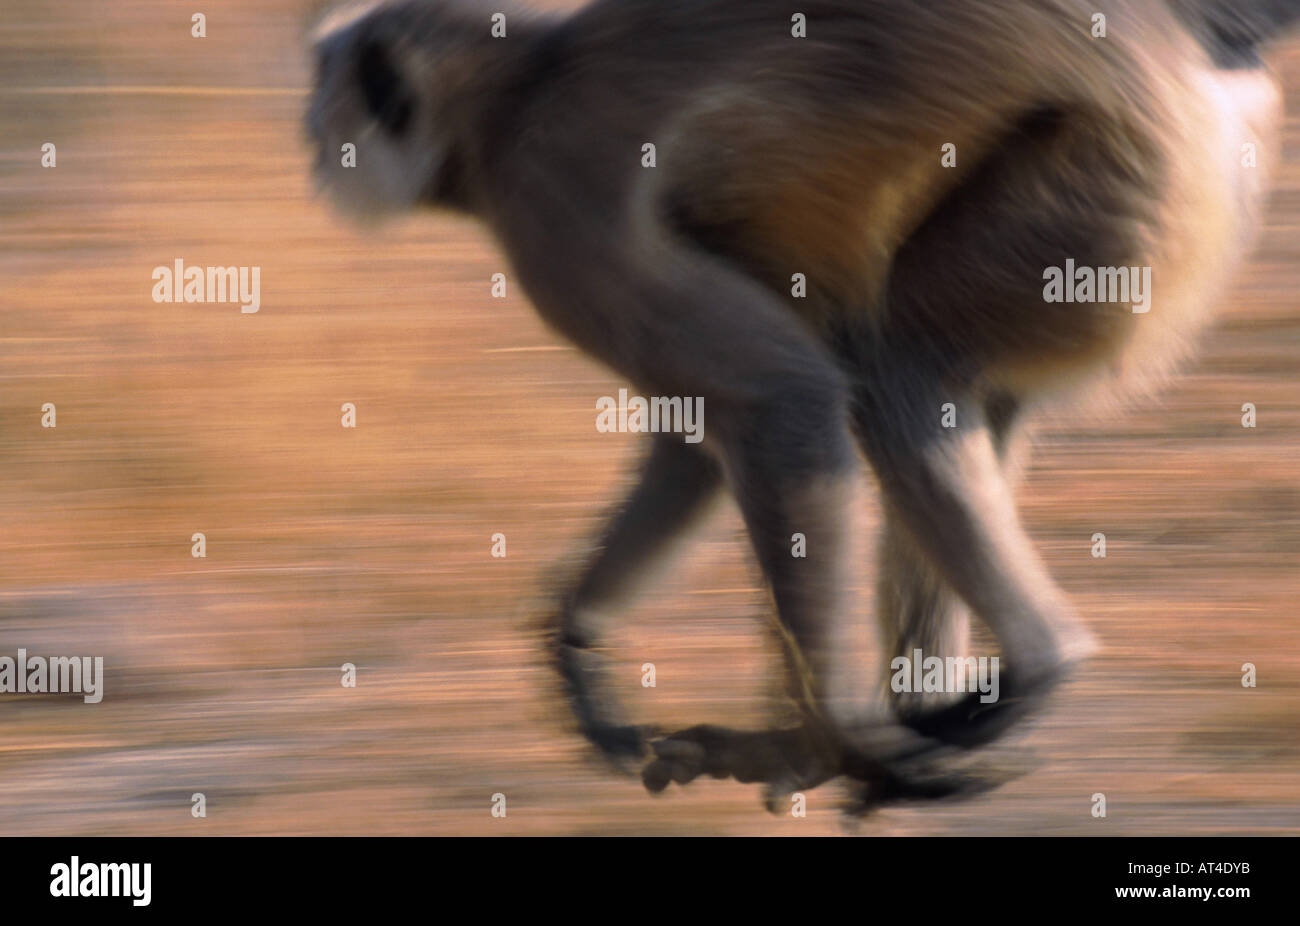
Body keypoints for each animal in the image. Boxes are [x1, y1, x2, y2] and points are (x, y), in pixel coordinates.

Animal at [306, 0, 1299, 808]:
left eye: (329, 120)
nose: (317, 160)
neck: (516, 87)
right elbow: (698, 438)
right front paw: (576, 646)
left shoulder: (553, 200)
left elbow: (782, 396)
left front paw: (846, 740)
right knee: (957, 390)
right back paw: (894, 717)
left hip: (1112, 171)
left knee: (894, 364)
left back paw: (993, 683)